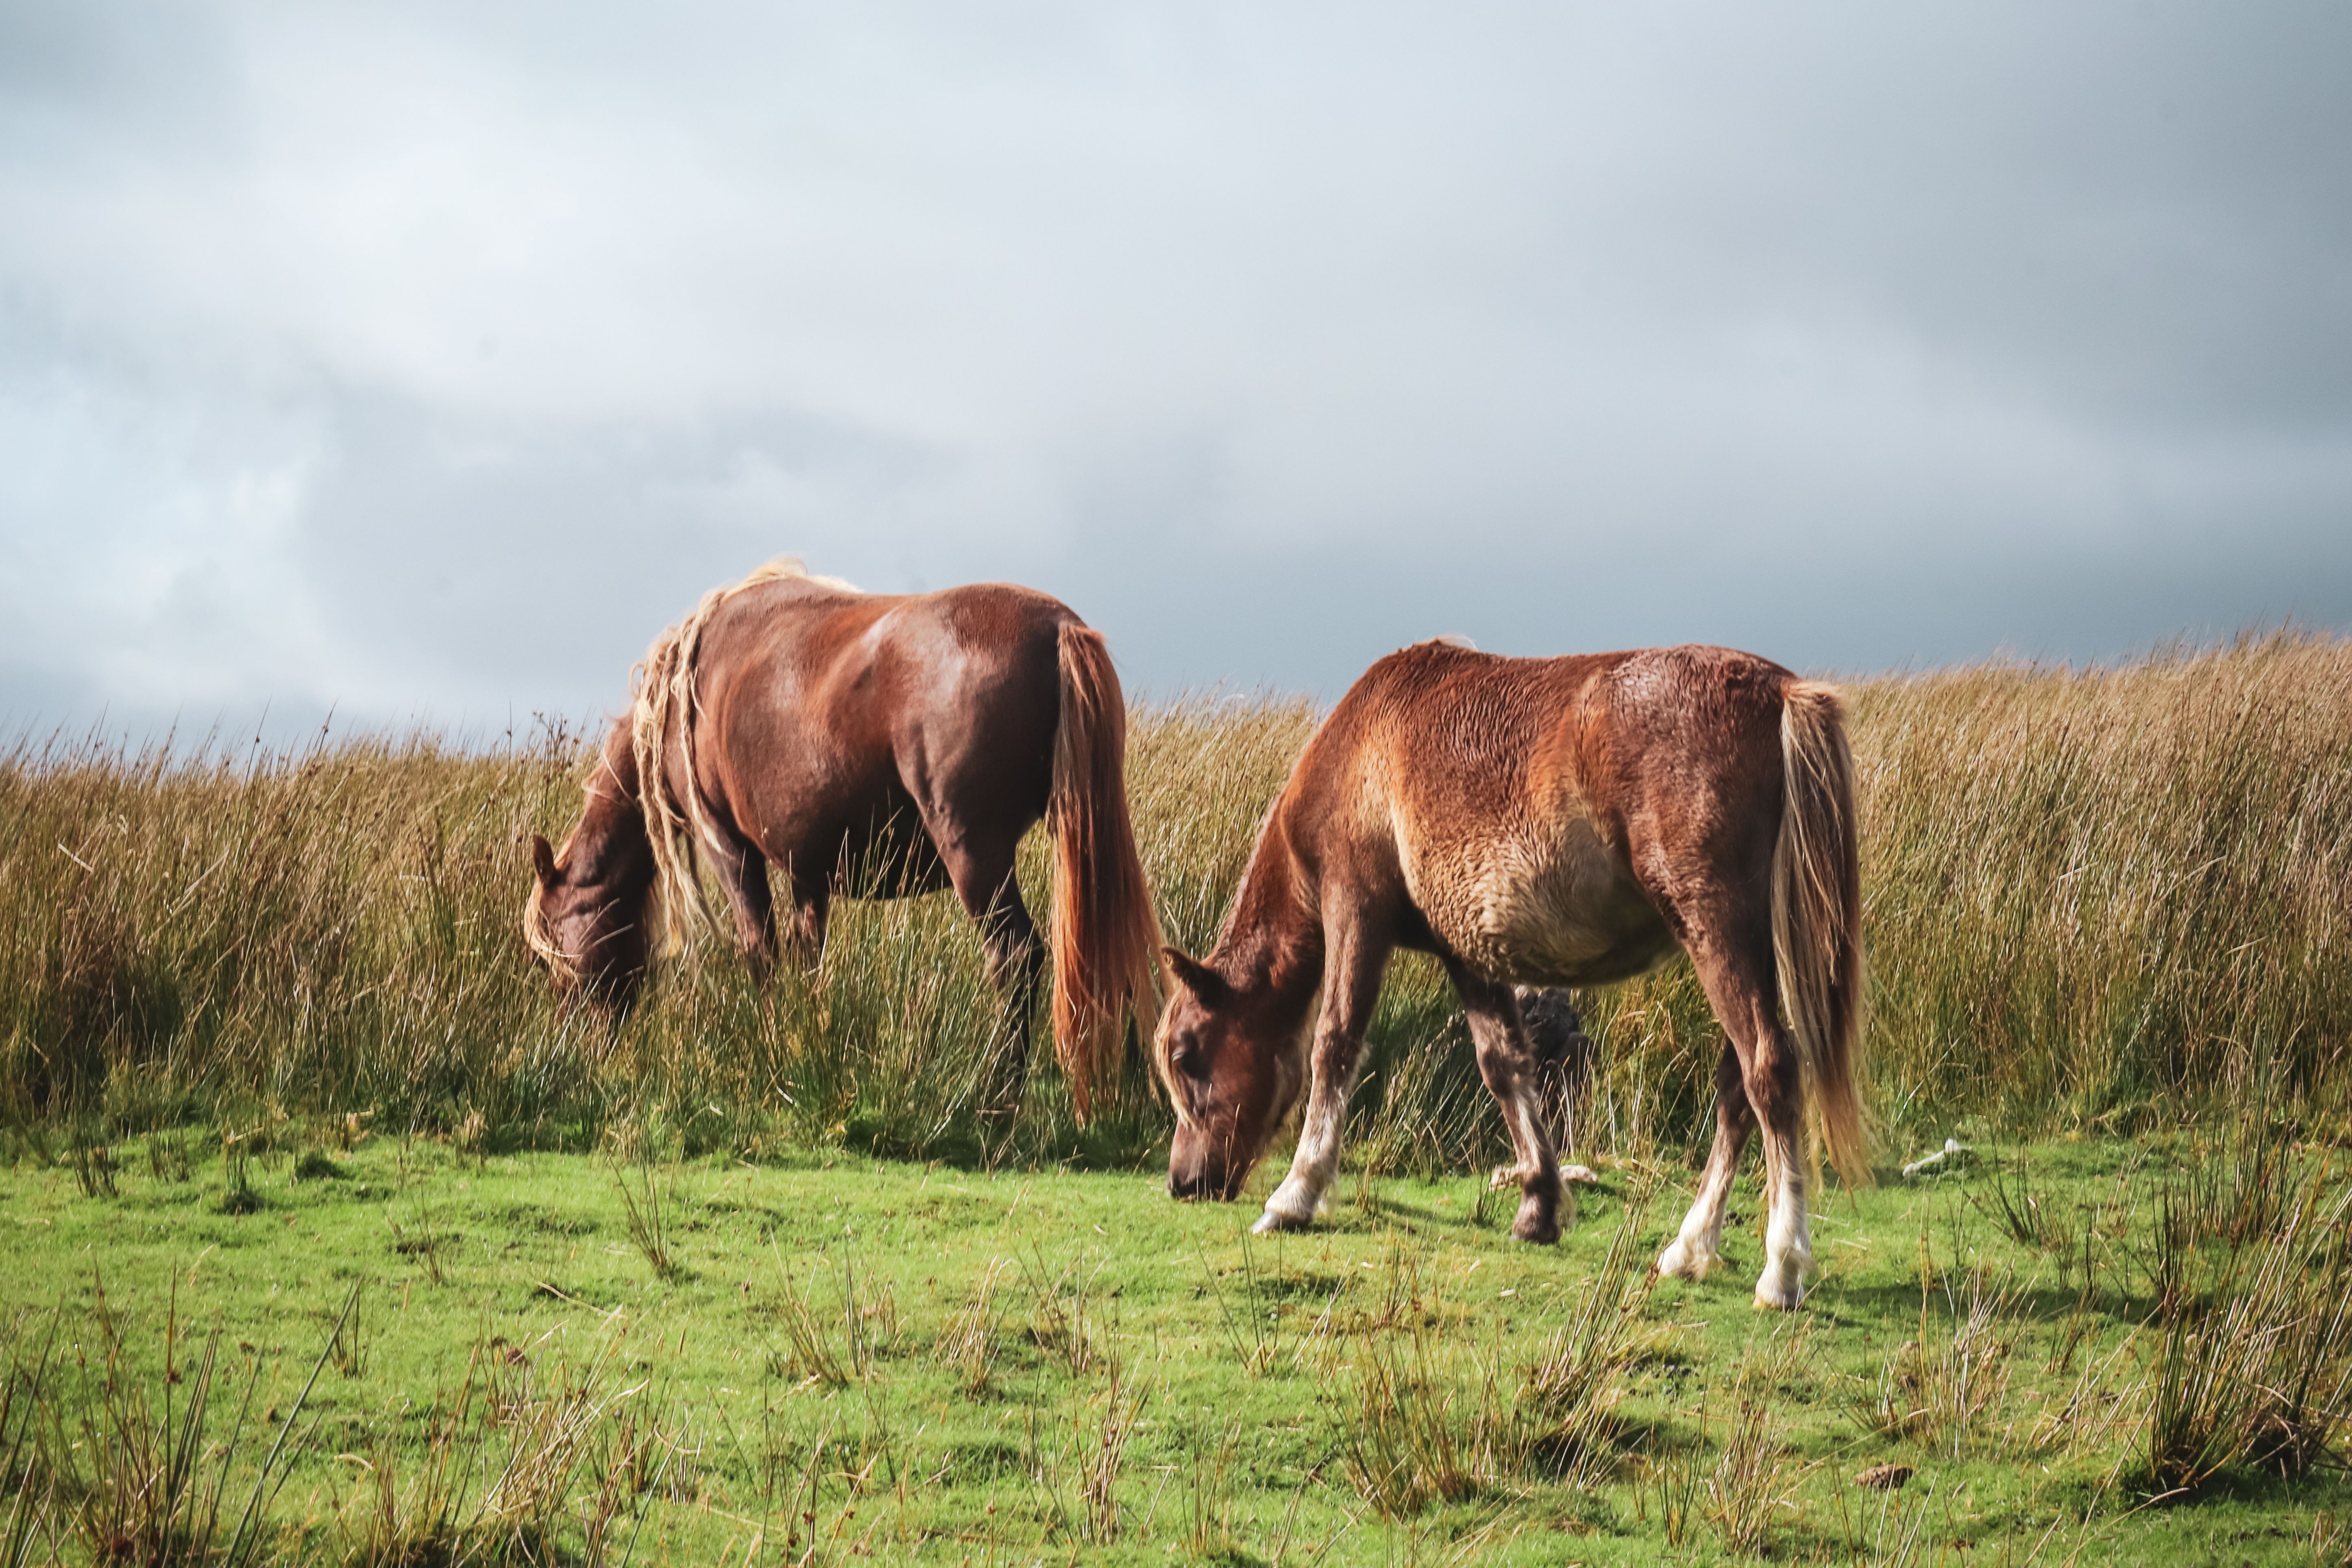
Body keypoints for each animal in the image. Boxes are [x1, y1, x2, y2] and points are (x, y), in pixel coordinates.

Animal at [523, 559, 1162, 1118]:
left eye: (555, 946)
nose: (574, 1047)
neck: (691, 683)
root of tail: (1059, 628)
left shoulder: (728, 845)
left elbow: (761, 950)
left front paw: (774, 1055)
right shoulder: (808, 865)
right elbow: (809, 956)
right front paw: (811, 1046)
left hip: (974, 855)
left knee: (1014, 956)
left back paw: (998, 1099)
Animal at [1151, 639, 1866, 1309]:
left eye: (1187, 1056)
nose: (1181, 1183)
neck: (1359, 747)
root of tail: (1780, 692)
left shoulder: (1356, 908)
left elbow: (1335, 1046)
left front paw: (1296, 1194)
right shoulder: (1466, 951)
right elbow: (1504, 1067)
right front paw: (1539, 1206)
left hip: (1718, 934)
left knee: (1768, 1070)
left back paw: (1782, 1269)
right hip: (1748, 948)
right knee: (1736, 1088)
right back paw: (1690, 1247)